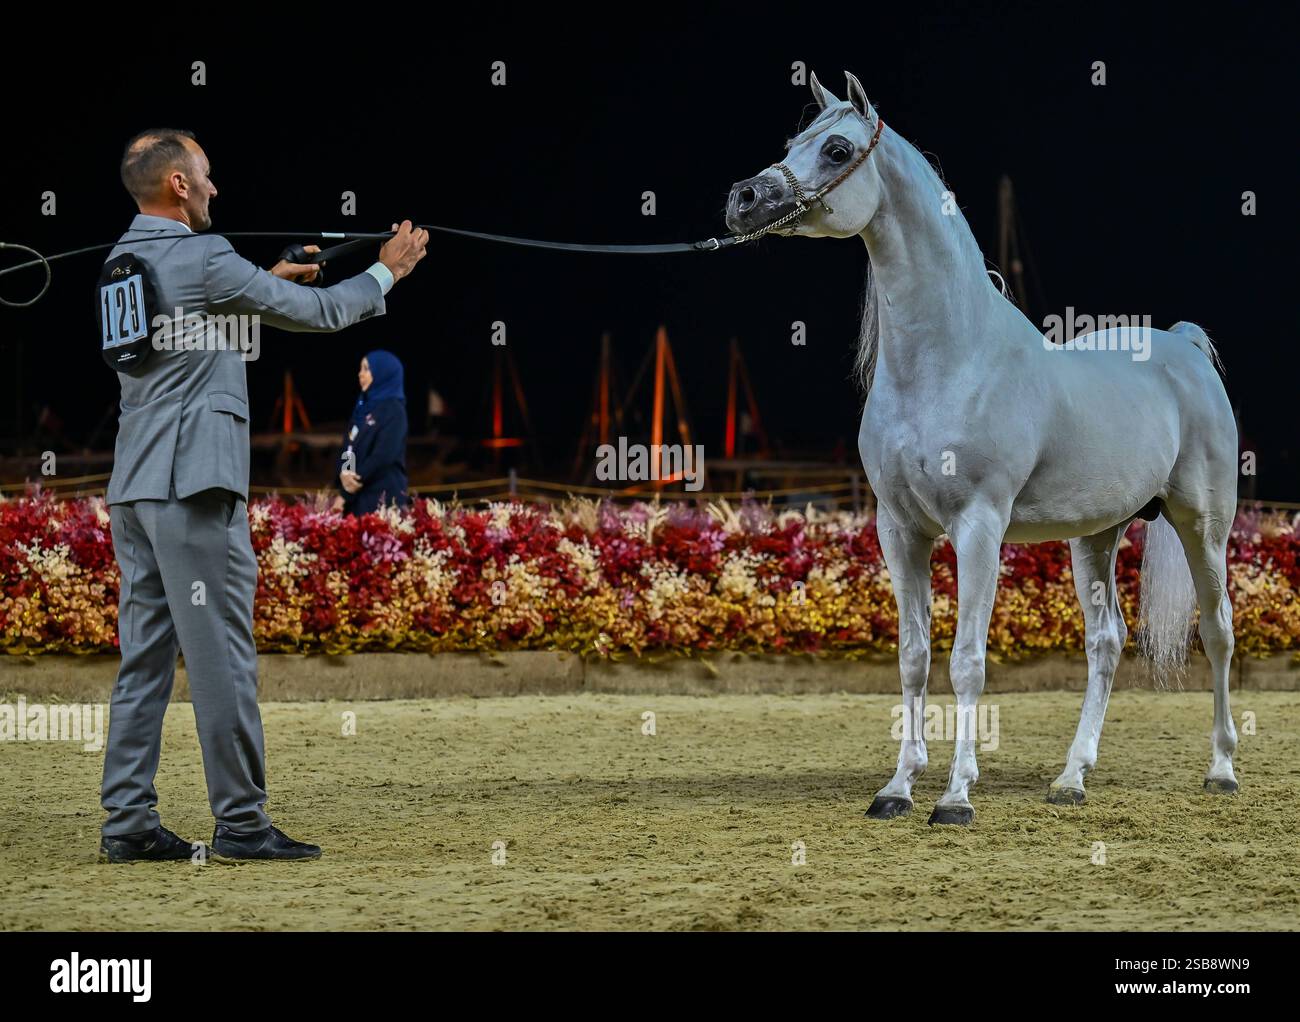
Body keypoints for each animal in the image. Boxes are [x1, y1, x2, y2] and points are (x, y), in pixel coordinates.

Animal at [725, 71, 1239, 825]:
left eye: (837, 148)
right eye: (792, 143)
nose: (744, 199)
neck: (949, 359)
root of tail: (1183, 346)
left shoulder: (977, 526)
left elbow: (967, 659)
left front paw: (956, 797)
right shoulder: (899, 530)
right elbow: (913, 657)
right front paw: (897, 788)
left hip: (1203, 524)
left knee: (1219, 631)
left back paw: (1222, 768)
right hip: (1096, 535)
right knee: (1105, 642)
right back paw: (1071, 778)